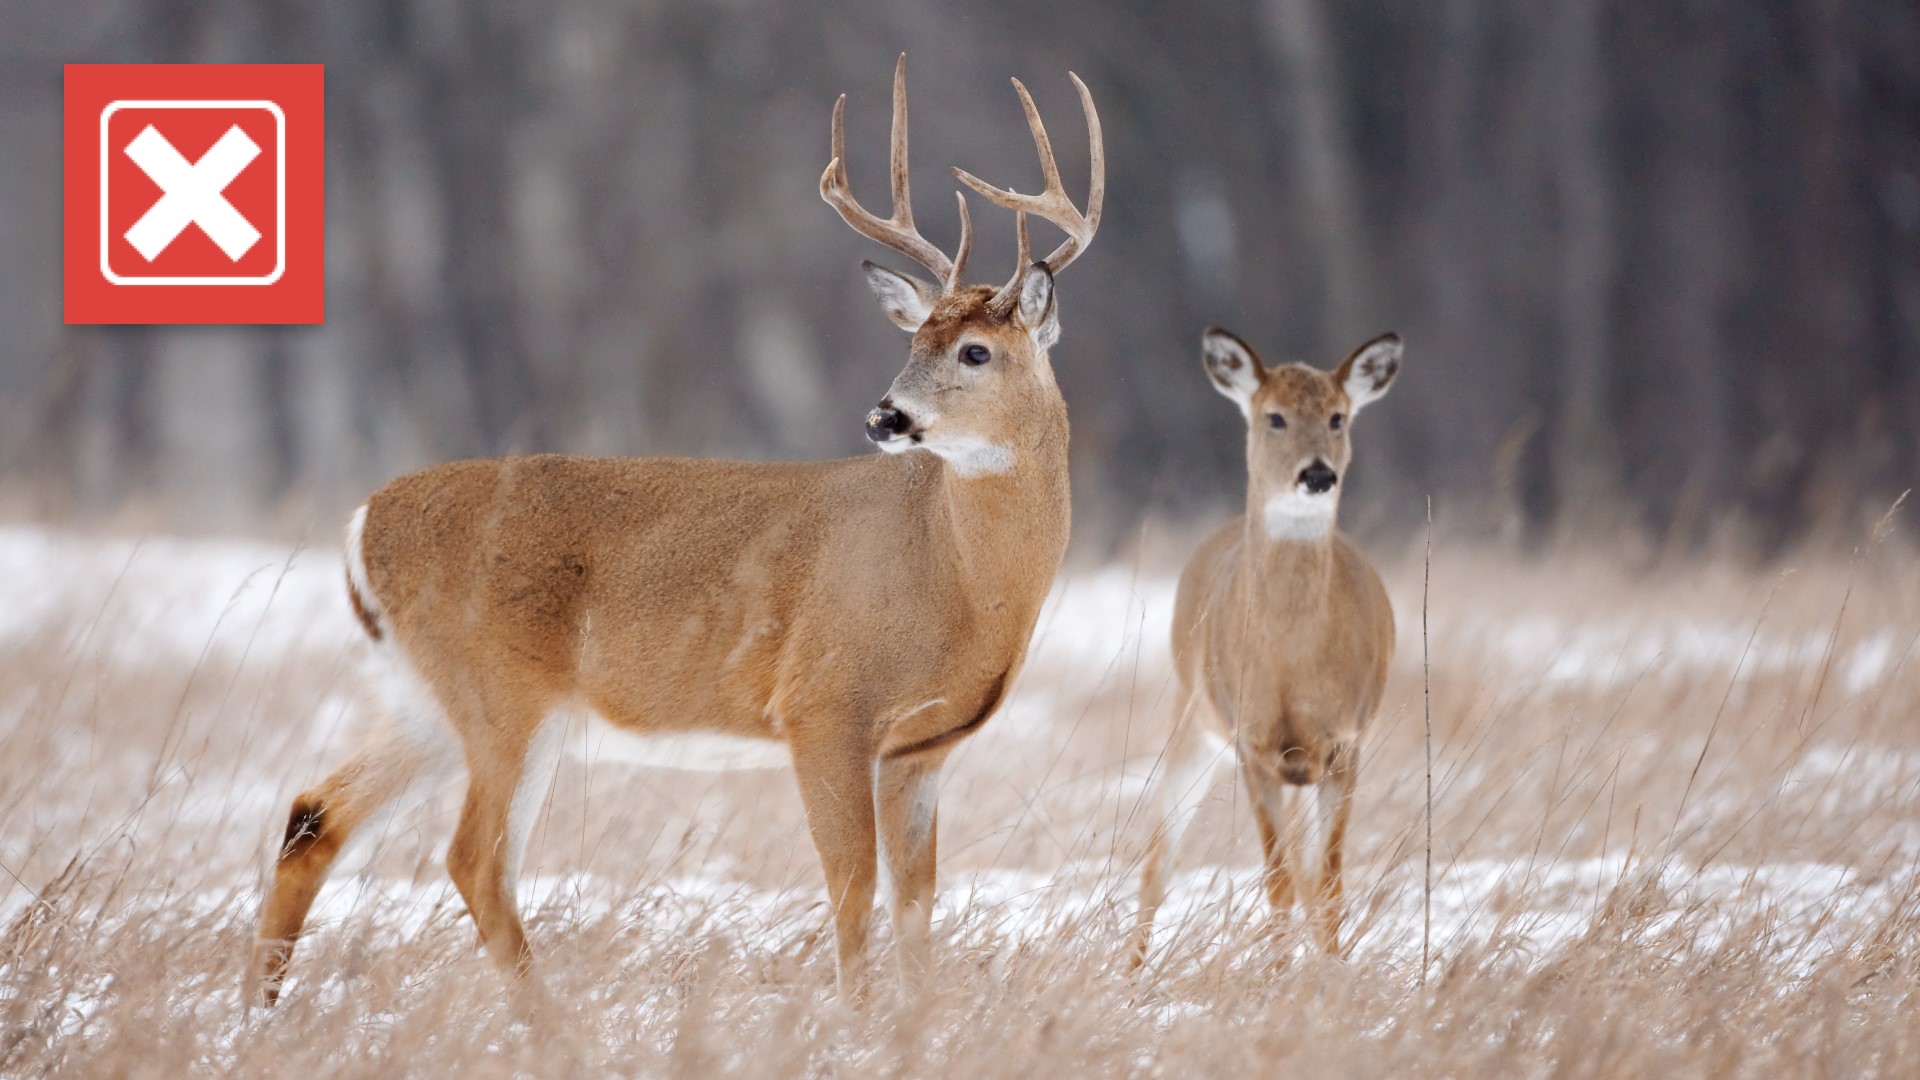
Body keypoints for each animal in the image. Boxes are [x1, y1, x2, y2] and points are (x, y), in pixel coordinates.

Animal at [250, 55, 1102, 1006]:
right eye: (914, 340)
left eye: (975, 351)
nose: (884, 416)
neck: (958, 578)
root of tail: (363, 524)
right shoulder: (823, 706)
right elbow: (852, 891)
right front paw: (856, 1018)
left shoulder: (921, 750)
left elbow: (916, 907)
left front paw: (917, 1020)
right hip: (502, 690)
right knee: (474, 858)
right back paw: (554, 1024)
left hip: (423, 696)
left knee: (315, 814)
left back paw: (261, 1013)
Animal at [1130, 326, 1402, 966]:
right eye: (1274, 417)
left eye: (1337, 416)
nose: (1318, 474)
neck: (1291, 664)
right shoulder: (1251, 743)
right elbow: (1278, 883)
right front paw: (1277, 978)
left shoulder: (1344, 742)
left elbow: (1325, 885)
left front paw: (1328, 974)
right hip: (1193, 717)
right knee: (1157, 862)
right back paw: (1128, 973)